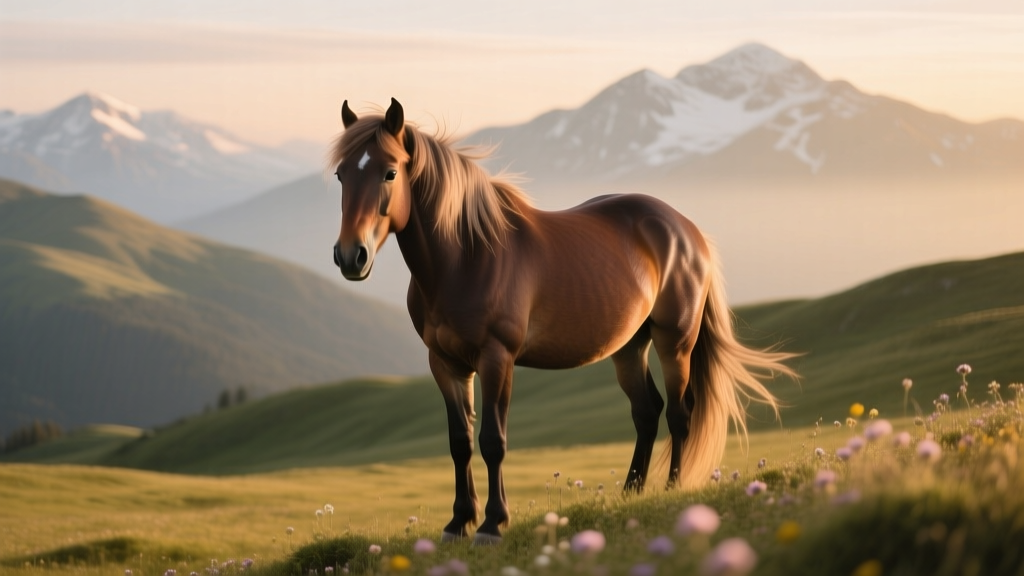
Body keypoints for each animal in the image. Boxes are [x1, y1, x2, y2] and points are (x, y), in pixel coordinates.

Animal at [330, 98, 796, 545]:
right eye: (340, 175)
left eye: (390, 172)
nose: (351, 256)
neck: (466, 258)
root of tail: (687, 231)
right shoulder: (445, 363)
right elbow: (459, 442)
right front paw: (458, 522)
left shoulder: (497, 359)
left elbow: (492, 441)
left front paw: (492, 525)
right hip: (629, 346)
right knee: (647, 412)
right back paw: (630, 492)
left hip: (674, 342)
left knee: (680, 413)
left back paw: (671, 490)